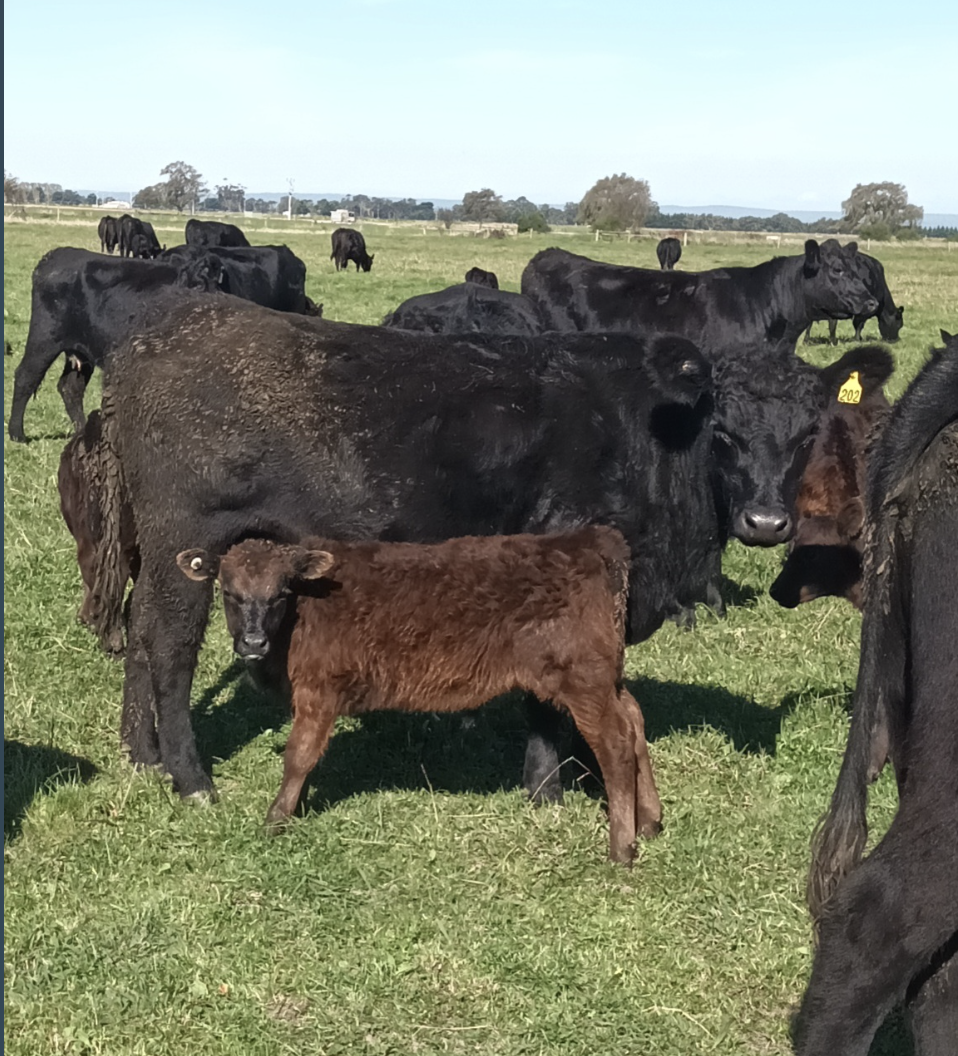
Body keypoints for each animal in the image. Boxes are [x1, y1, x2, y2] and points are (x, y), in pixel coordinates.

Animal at [7, 248, 223, 442]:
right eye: (197, 286)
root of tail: (54, 255)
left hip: (81, 350)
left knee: (70, 387)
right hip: (44, 339)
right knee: (26, 377)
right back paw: (17, 434)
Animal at [90, 297, 719, 801]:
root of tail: (148, 335)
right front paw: (552, 787)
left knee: (140, 629)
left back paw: (142, 754)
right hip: (188, 542)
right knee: (168, 646)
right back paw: (190, 777)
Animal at [177, 528, 662, 863]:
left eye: (280, 594)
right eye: (228, 592)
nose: (252, 642)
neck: (303, 615)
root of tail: (590, 540)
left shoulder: (319, 689)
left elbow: (298, 755)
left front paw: (275, 820)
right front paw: (295, 808)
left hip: (582, 679)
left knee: (615, 741)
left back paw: (621, 848)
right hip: (605, 677)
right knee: (634, 720)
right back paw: (650, 822)